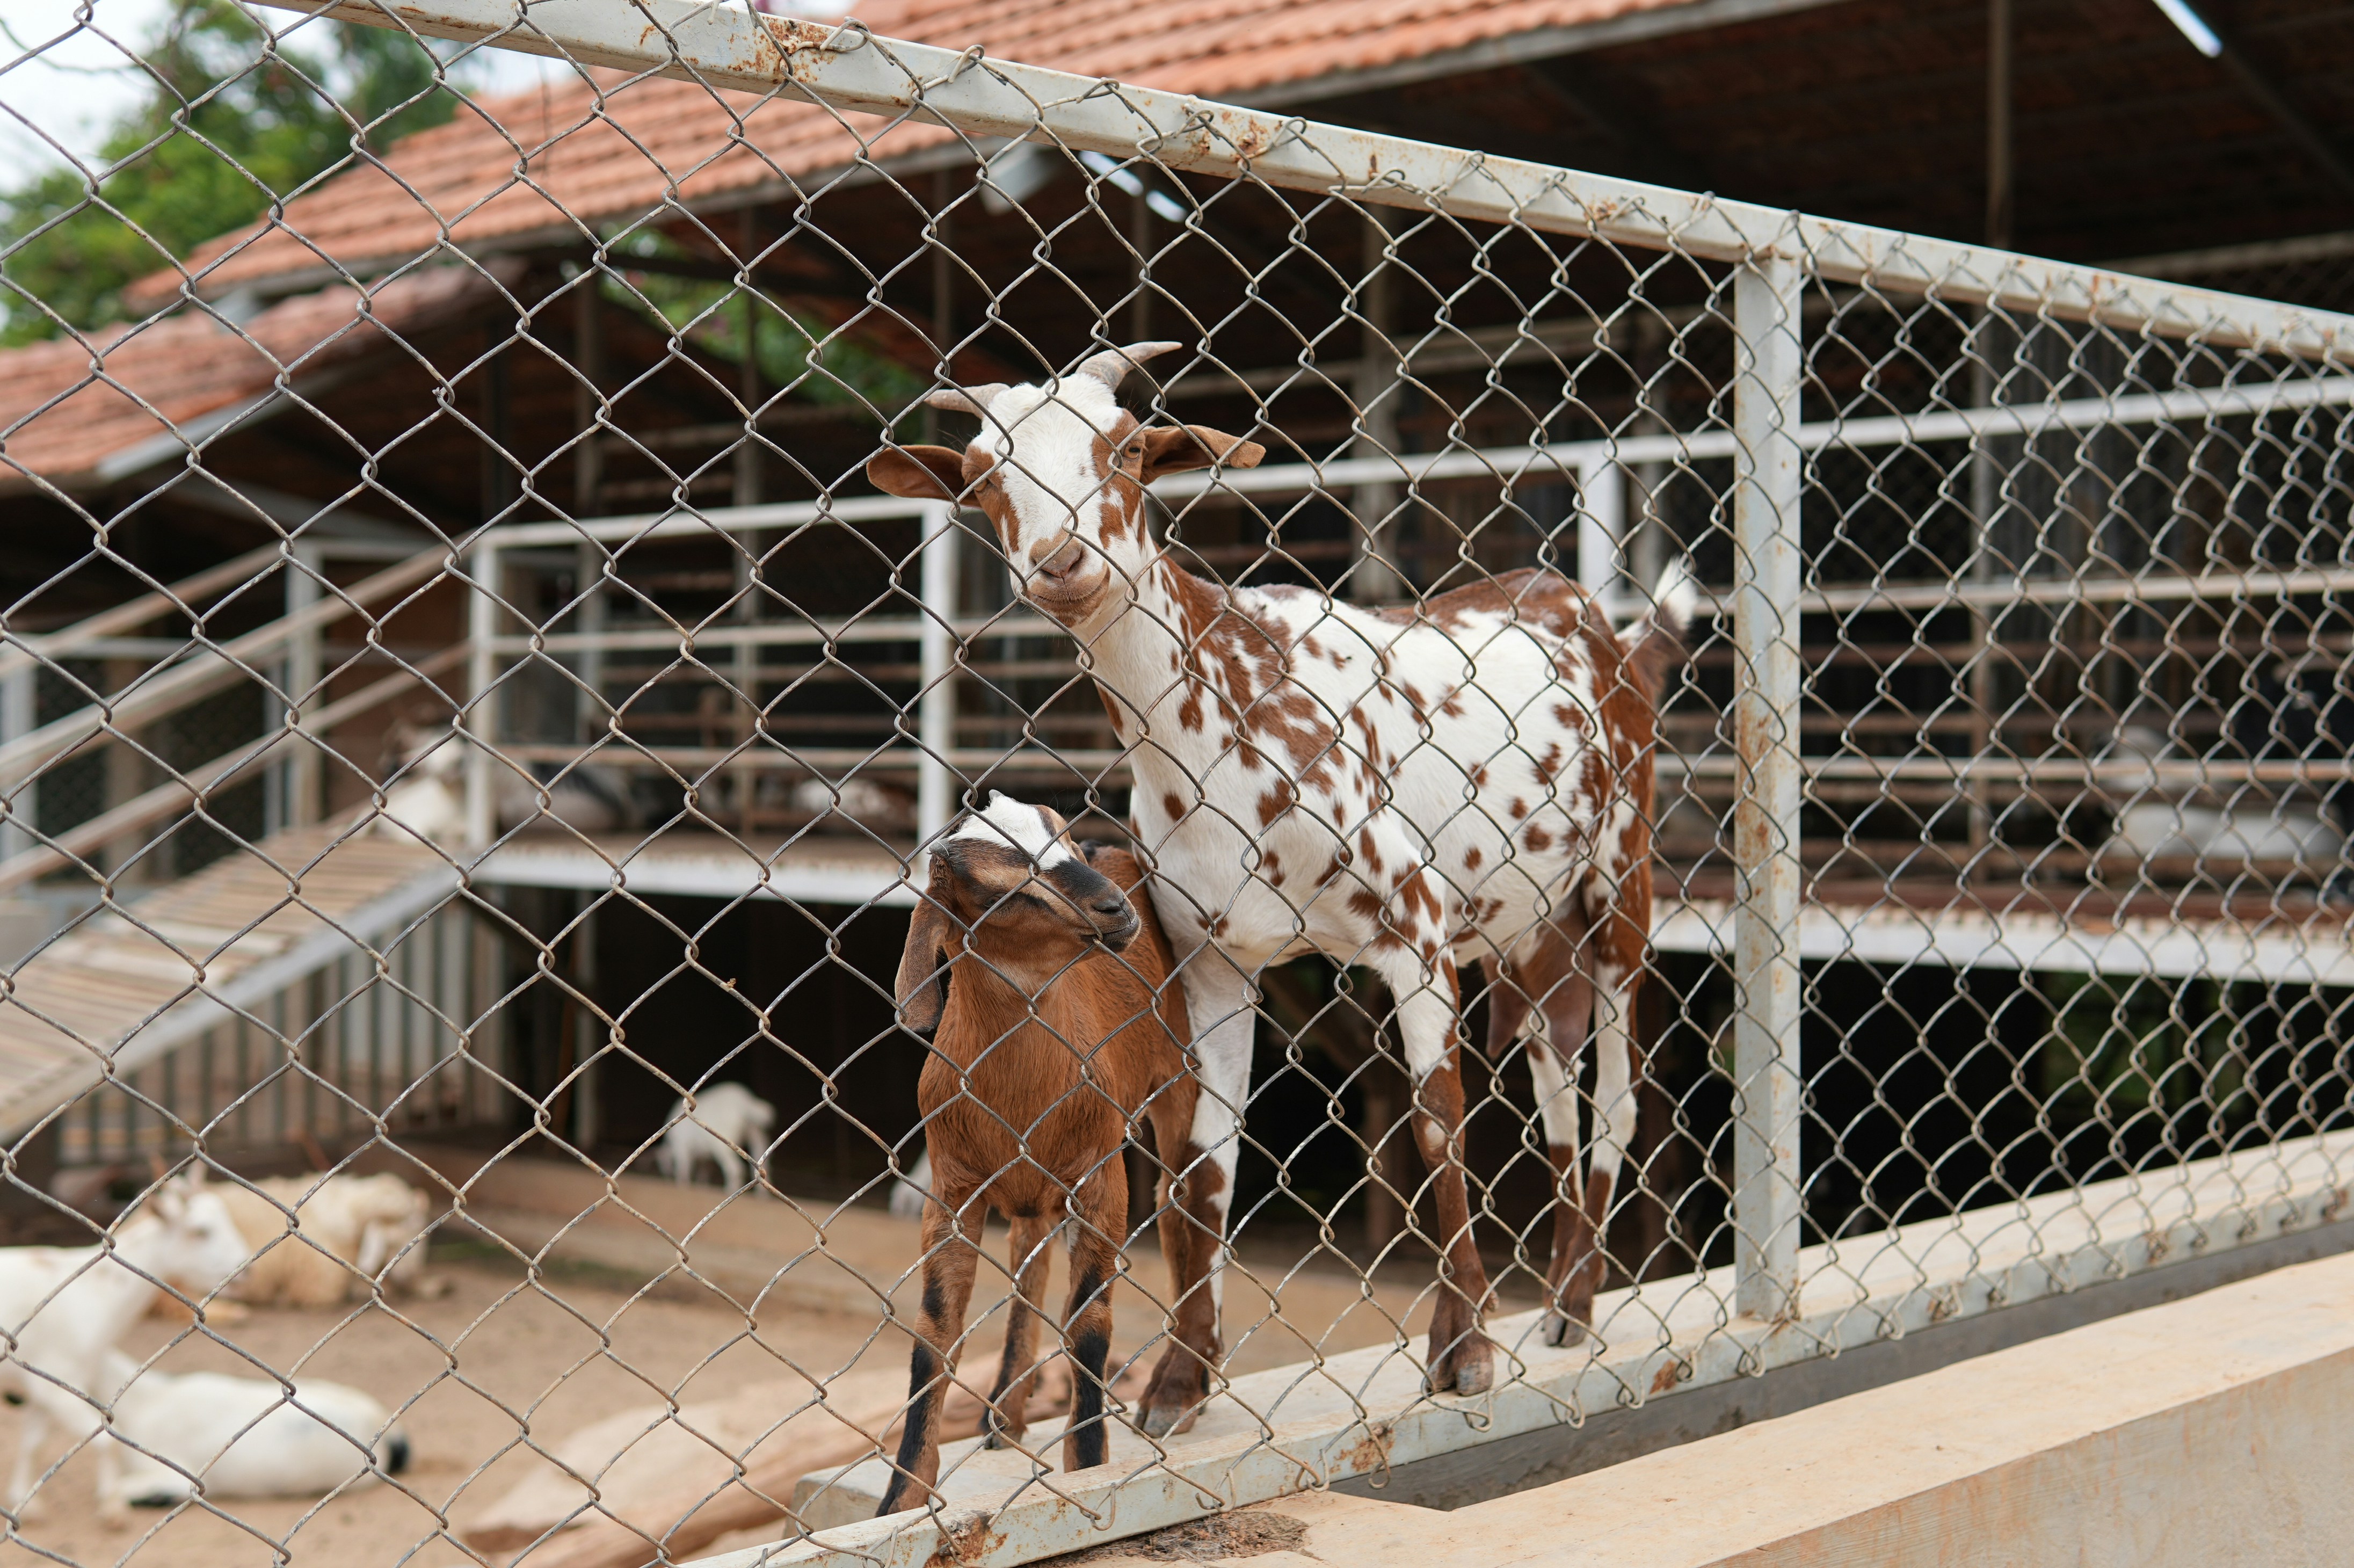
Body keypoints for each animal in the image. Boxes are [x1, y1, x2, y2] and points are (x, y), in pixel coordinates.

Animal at [0, 1170, 249, 1525]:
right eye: (200, 1231)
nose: (247, 1271)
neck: (94, 1292)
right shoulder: (59, 1385)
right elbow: (107, 1442)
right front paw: (113, 1509)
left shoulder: (42, 1388)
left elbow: (32, 1444)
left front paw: (28, 1505)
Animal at [655, 1083, 777, 1192]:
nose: (666, 1174)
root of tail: (745, 1104)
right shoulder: (704, 1159)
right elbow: (703, 1172)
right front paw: (702, 1186)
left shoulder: (682, 1147)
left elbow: (684, 1168)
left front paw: (683, 1186)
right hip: (757, 1135)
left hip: (724, 1143)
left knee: (735, 1168)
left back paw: (730, 1190)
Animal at [870, 342, 1692, 1416]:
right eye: (980, 480)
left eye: (1127, 448)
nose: (1061, 564)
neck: (1227, 712)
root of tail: (1605, 626)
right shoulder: (1213, 962)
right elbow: (1200, 1166)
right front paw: (1181, 1377)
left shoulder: (1415, 930)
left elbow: (1437, 1126)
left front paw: (1464, 1348)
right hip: (1525, 931)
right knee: (1555, 1089)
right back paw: (1562, 1298)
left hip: (1617, 886)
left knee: (1617, 1100)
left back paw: (1577, 1304)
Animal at [879, 794, 1203, 1514]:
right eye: (1002, 889)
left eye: (1067, 842)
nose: (1115, 909)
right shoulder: (953, 1187)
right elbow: (934, 1330)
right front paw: (902, 1498)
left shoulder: (1102, 1179)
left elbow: (1088, 1323)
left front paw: (1087, 1467)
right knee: (1029, 1251)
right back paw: (1004, 1412)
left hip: (1178, 1082)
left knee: (1181, 1207)